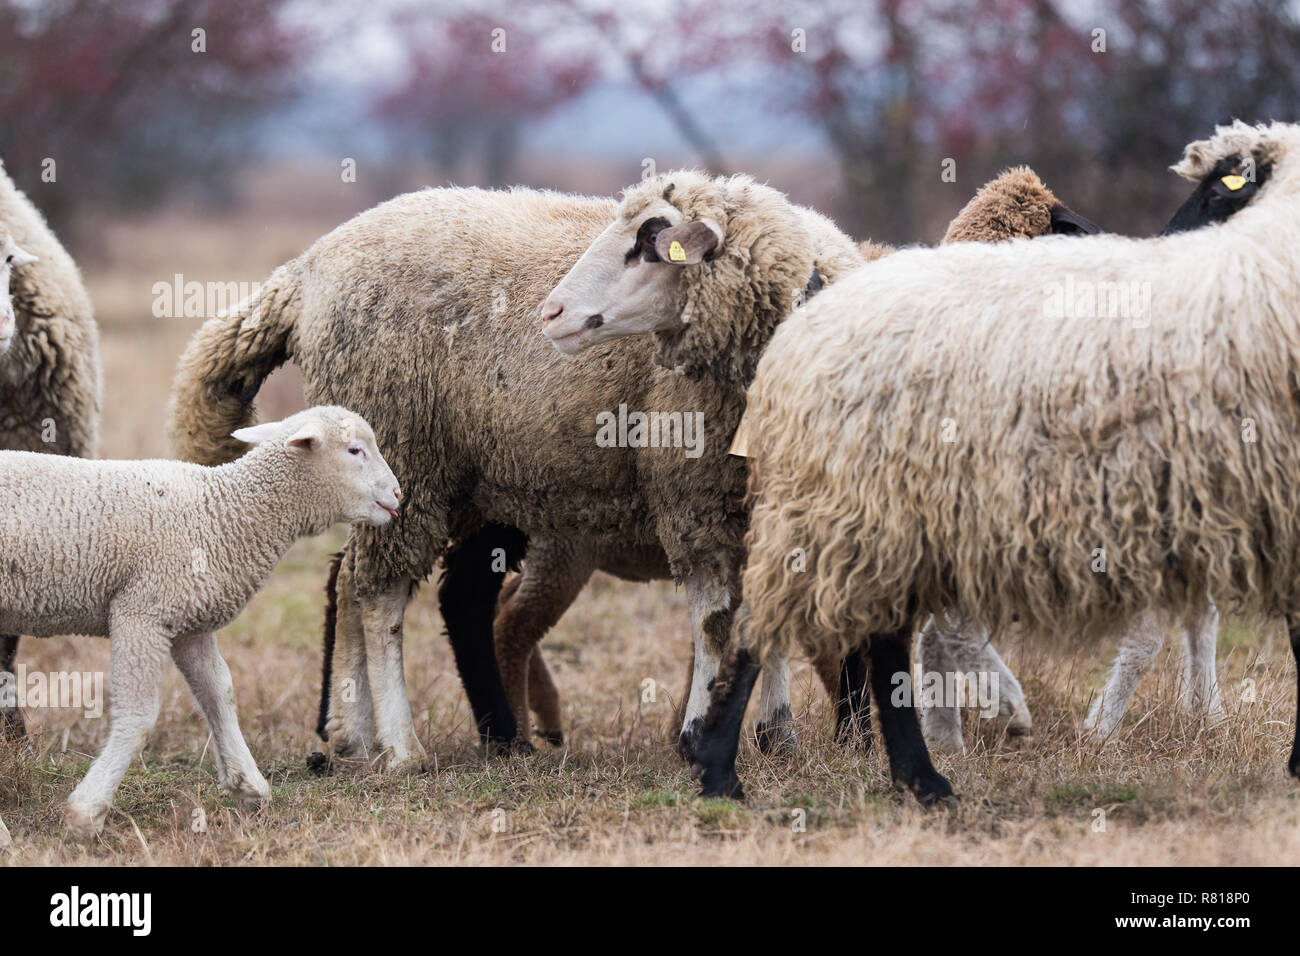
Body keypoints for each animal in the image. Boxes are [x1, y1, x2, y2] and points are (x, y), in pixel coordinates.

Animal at [0, 405, 400, 840]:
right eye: (355, 449)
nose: (398, 494)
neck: (222, 514)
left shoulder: (191, 624)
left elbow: (219, 693)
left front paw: (249, 786)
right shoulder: (143, 611)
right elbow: (139, 717)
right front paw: (85, 813)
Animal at [168, 173, 864, 771]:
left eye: (650, 243)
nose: (551, 313)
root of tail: (304, 271)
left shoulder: (767, 499)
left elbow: (761, 615)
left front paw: (777, 733)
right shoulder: (691, 493)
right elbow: (716, 619)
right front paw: (700, 737)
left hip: (446, 481)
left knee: (354, 581)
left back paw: (355, 736)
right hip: (406, 453)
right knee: (381, 592)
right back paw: (406, 746)